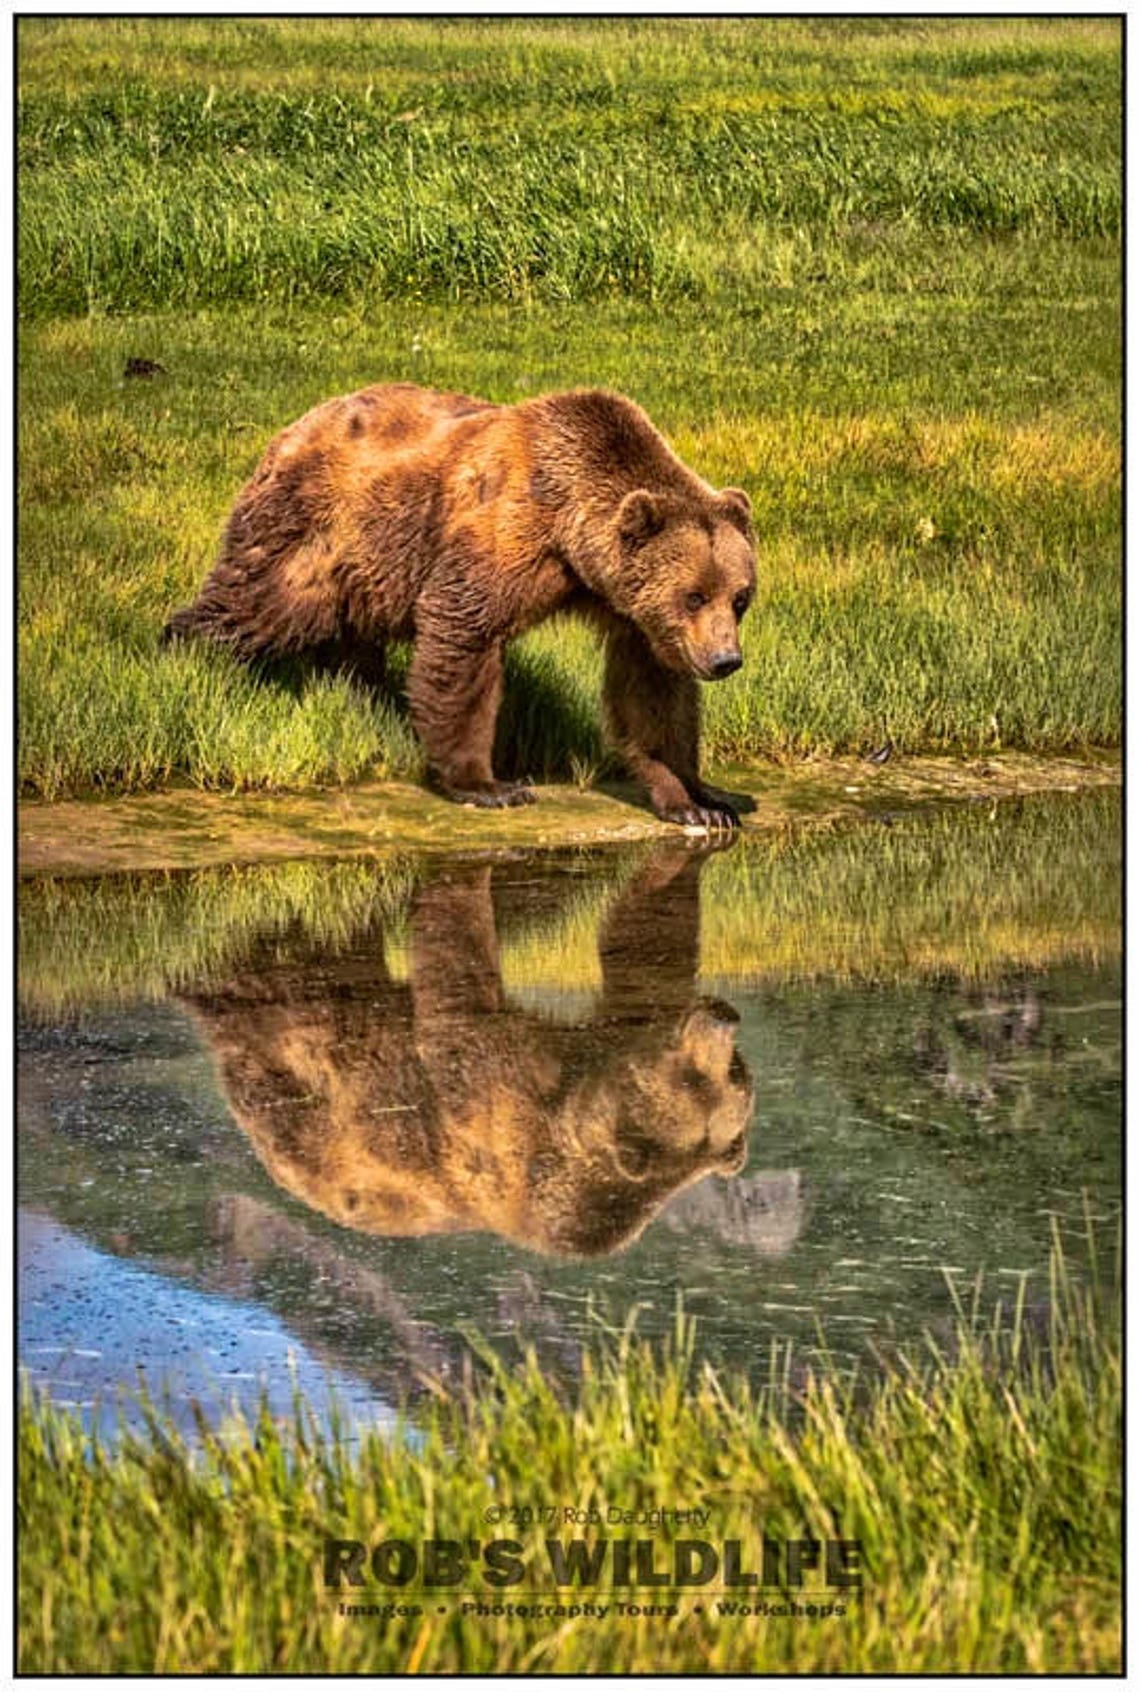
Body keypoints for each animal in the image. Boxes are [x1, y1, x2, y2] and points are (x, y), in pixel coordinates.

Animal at [163, 383, 756, 828]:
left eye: (740, 597)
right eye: (693, 594)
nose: (725, 660)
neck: (573, 538)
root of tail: (292, 428)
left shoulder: (632, 613)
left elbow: (651, 695)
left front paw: (700, 800)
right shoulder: (508, 535)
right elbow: (465, 632)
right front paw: (489, 783)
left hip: (369, 565)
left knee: (349, 640)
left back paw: (357, 688)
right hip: (316, 527)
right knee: (259, 600)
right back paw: (189, 657)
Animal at [178, 846, 754, 1260]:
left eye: (731, 1074)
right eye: (695, 1075)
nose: (723, 1017)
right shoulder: (501, 1111)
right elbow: (457, 1009)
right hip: (298, 1076)